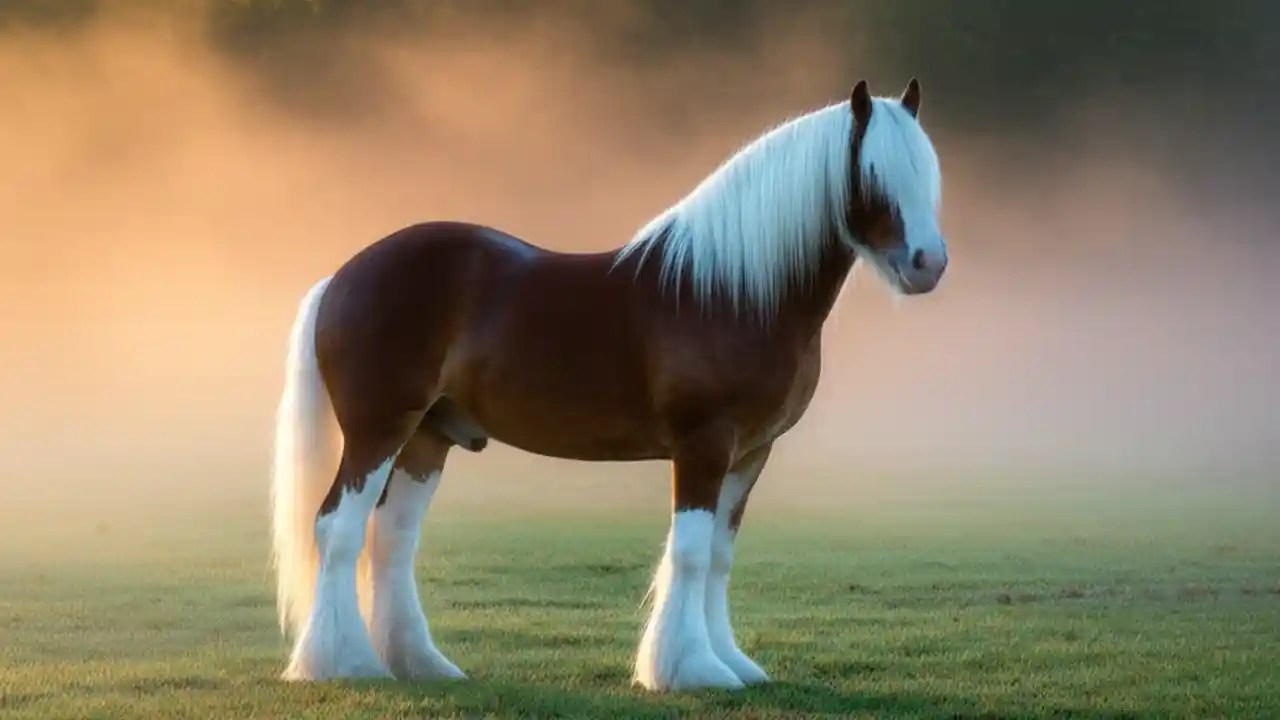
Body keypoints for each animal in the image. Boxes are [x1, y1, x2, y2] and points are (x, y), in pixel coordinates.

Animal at [270, 78, 947, 692]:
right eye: (875, 176)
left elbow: (719, 557)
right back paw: (345, 664)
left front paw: (731, 663)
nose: (929, 264)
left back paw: (421, 665)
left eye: (928, 174)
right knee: (337, 528)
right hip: (378, 430)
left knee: (391, 538)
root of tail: (343, 277)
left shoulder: (752, 453)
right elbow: (691, 552)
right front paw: (691, 670)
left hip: (427, 439)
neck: (734, 293)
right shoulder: (704, 445)